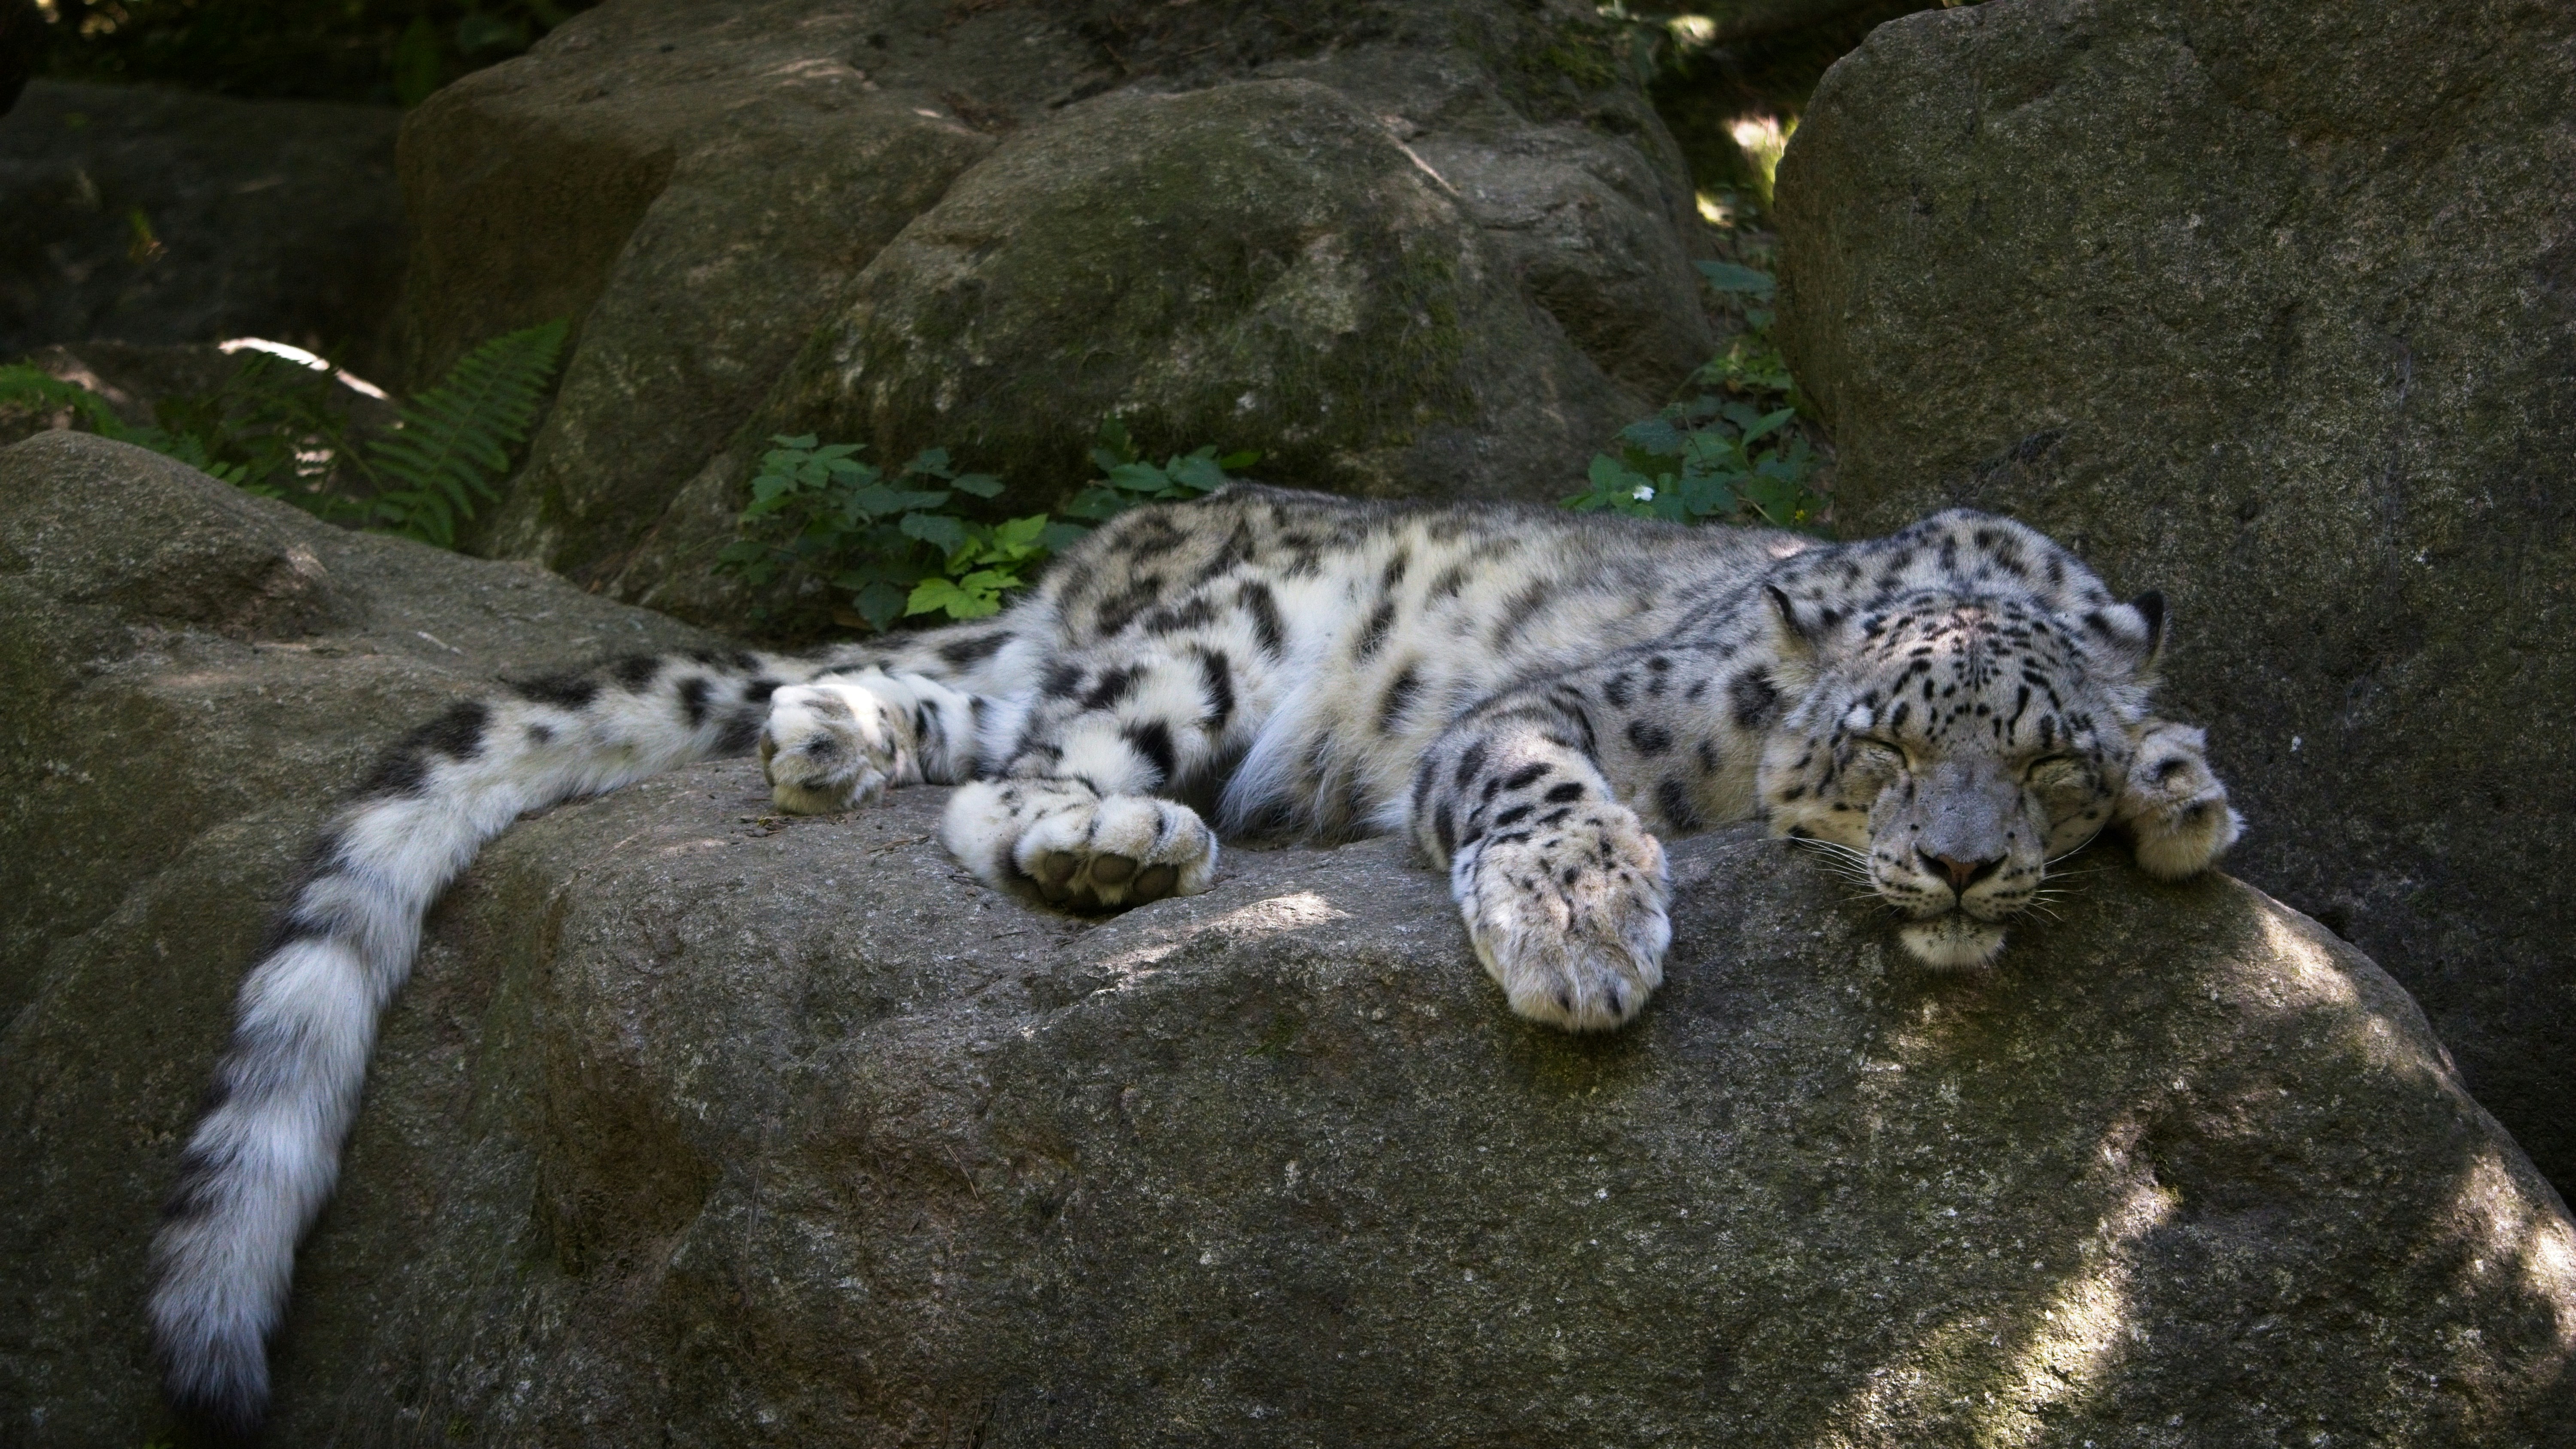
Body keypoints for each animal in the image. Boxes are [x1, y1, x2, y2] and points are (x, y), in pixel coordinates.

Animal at [148, 484, 2240, 1435]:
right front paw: (1582, 931)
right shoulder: (1546, 708)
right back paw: (1099, 840)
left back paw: (837, 733)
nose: (1958, 861)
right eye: (1880, 740)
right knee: (1024, 770)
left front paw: (2177, 789)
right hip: (1208, 651)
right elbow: (1542, 788)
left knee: (943, 718)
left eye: (2038, 756)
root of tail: (1103, 554)